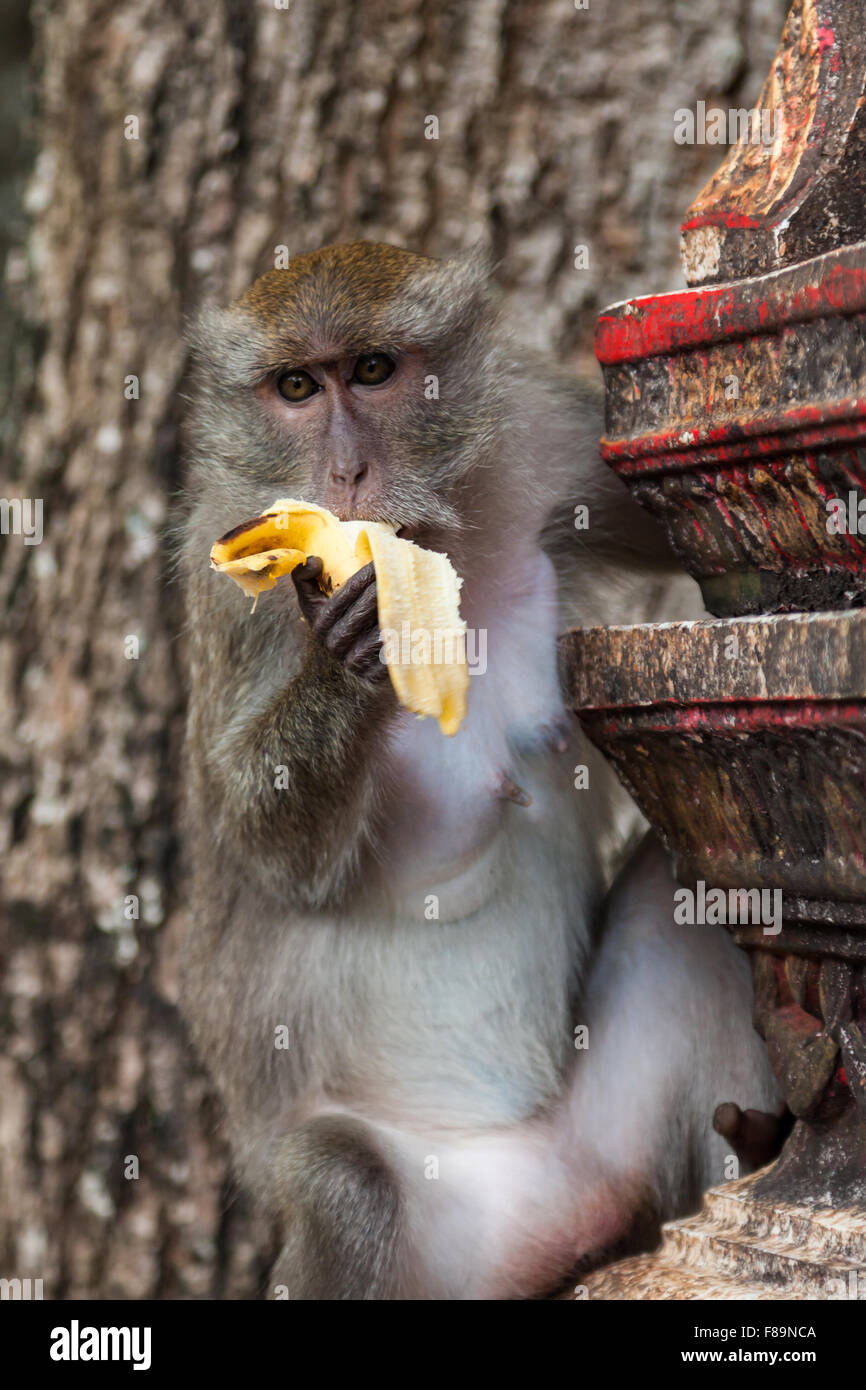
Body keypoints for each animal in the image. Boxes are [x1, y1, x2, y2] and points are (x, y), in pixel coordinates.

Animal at [179, 241, 780, 1300]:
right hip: (445, 1246)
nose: (347, 471)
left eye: (372, 370)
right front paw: (347, 655)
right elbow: (273, 859)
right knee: (342, 1184)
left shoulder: (548, 447)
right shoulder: (231, 595)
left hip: (612, 1138)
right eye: (295, 387)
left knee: (701, 893)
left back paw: (747, 1158)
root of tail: (559, 1215)